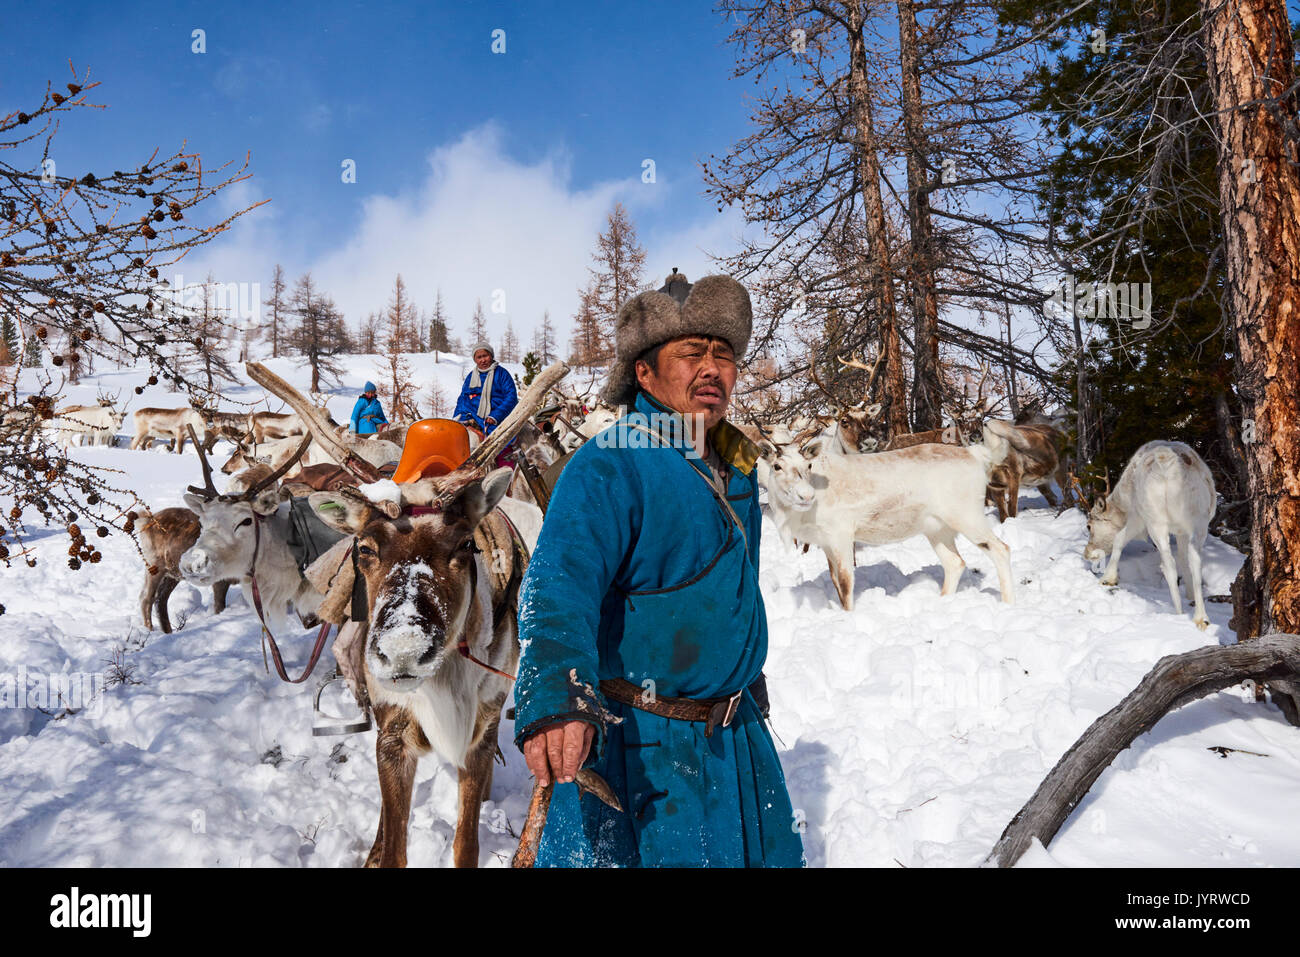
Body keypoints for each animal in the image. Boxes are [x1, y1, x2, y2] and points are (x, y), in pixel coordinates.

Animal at [1083, 441, 1216, 630]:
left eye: (1089, 526)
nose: (1086, 554)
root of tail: (1168, 470)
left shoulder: (1138, 518)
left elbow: (1118, 539)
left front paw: (1108, 579)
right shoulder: (1182, 531)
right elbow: (1184, 560)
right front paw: (1190, 595)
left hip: (1156, 521)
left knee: (1169, 565)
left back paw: (1180, 614)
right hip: (1198, 521)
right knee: (1194, 560)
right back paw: (1200, 618)